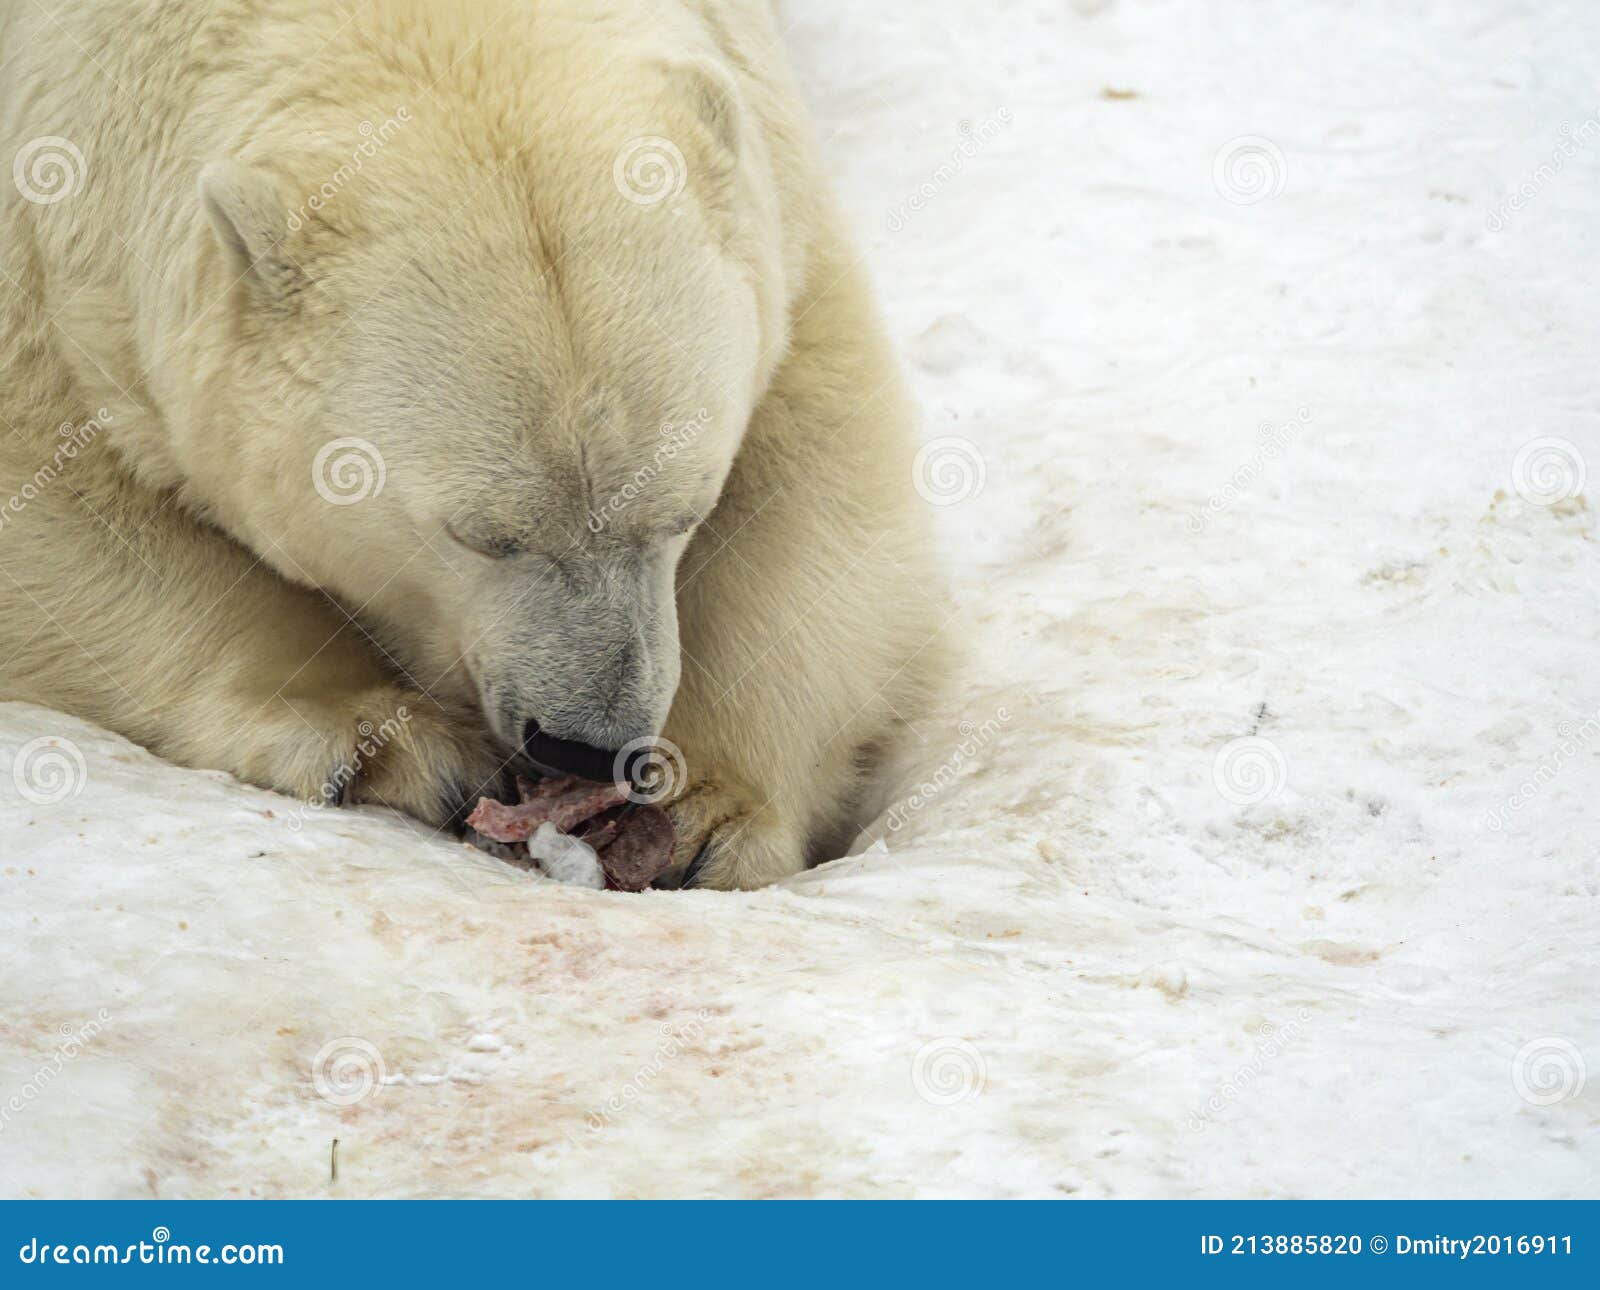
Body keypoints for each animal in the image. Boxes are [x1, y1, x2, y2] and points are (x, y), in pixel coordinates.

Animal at [0, 0, 947, 889]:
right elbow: (56, 502)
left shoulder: (774, 202)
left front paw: (704, 811)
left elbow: (825, 462)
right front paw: (387, 737)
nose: (584, 745)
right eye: (483, 535)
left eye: (686, 510)